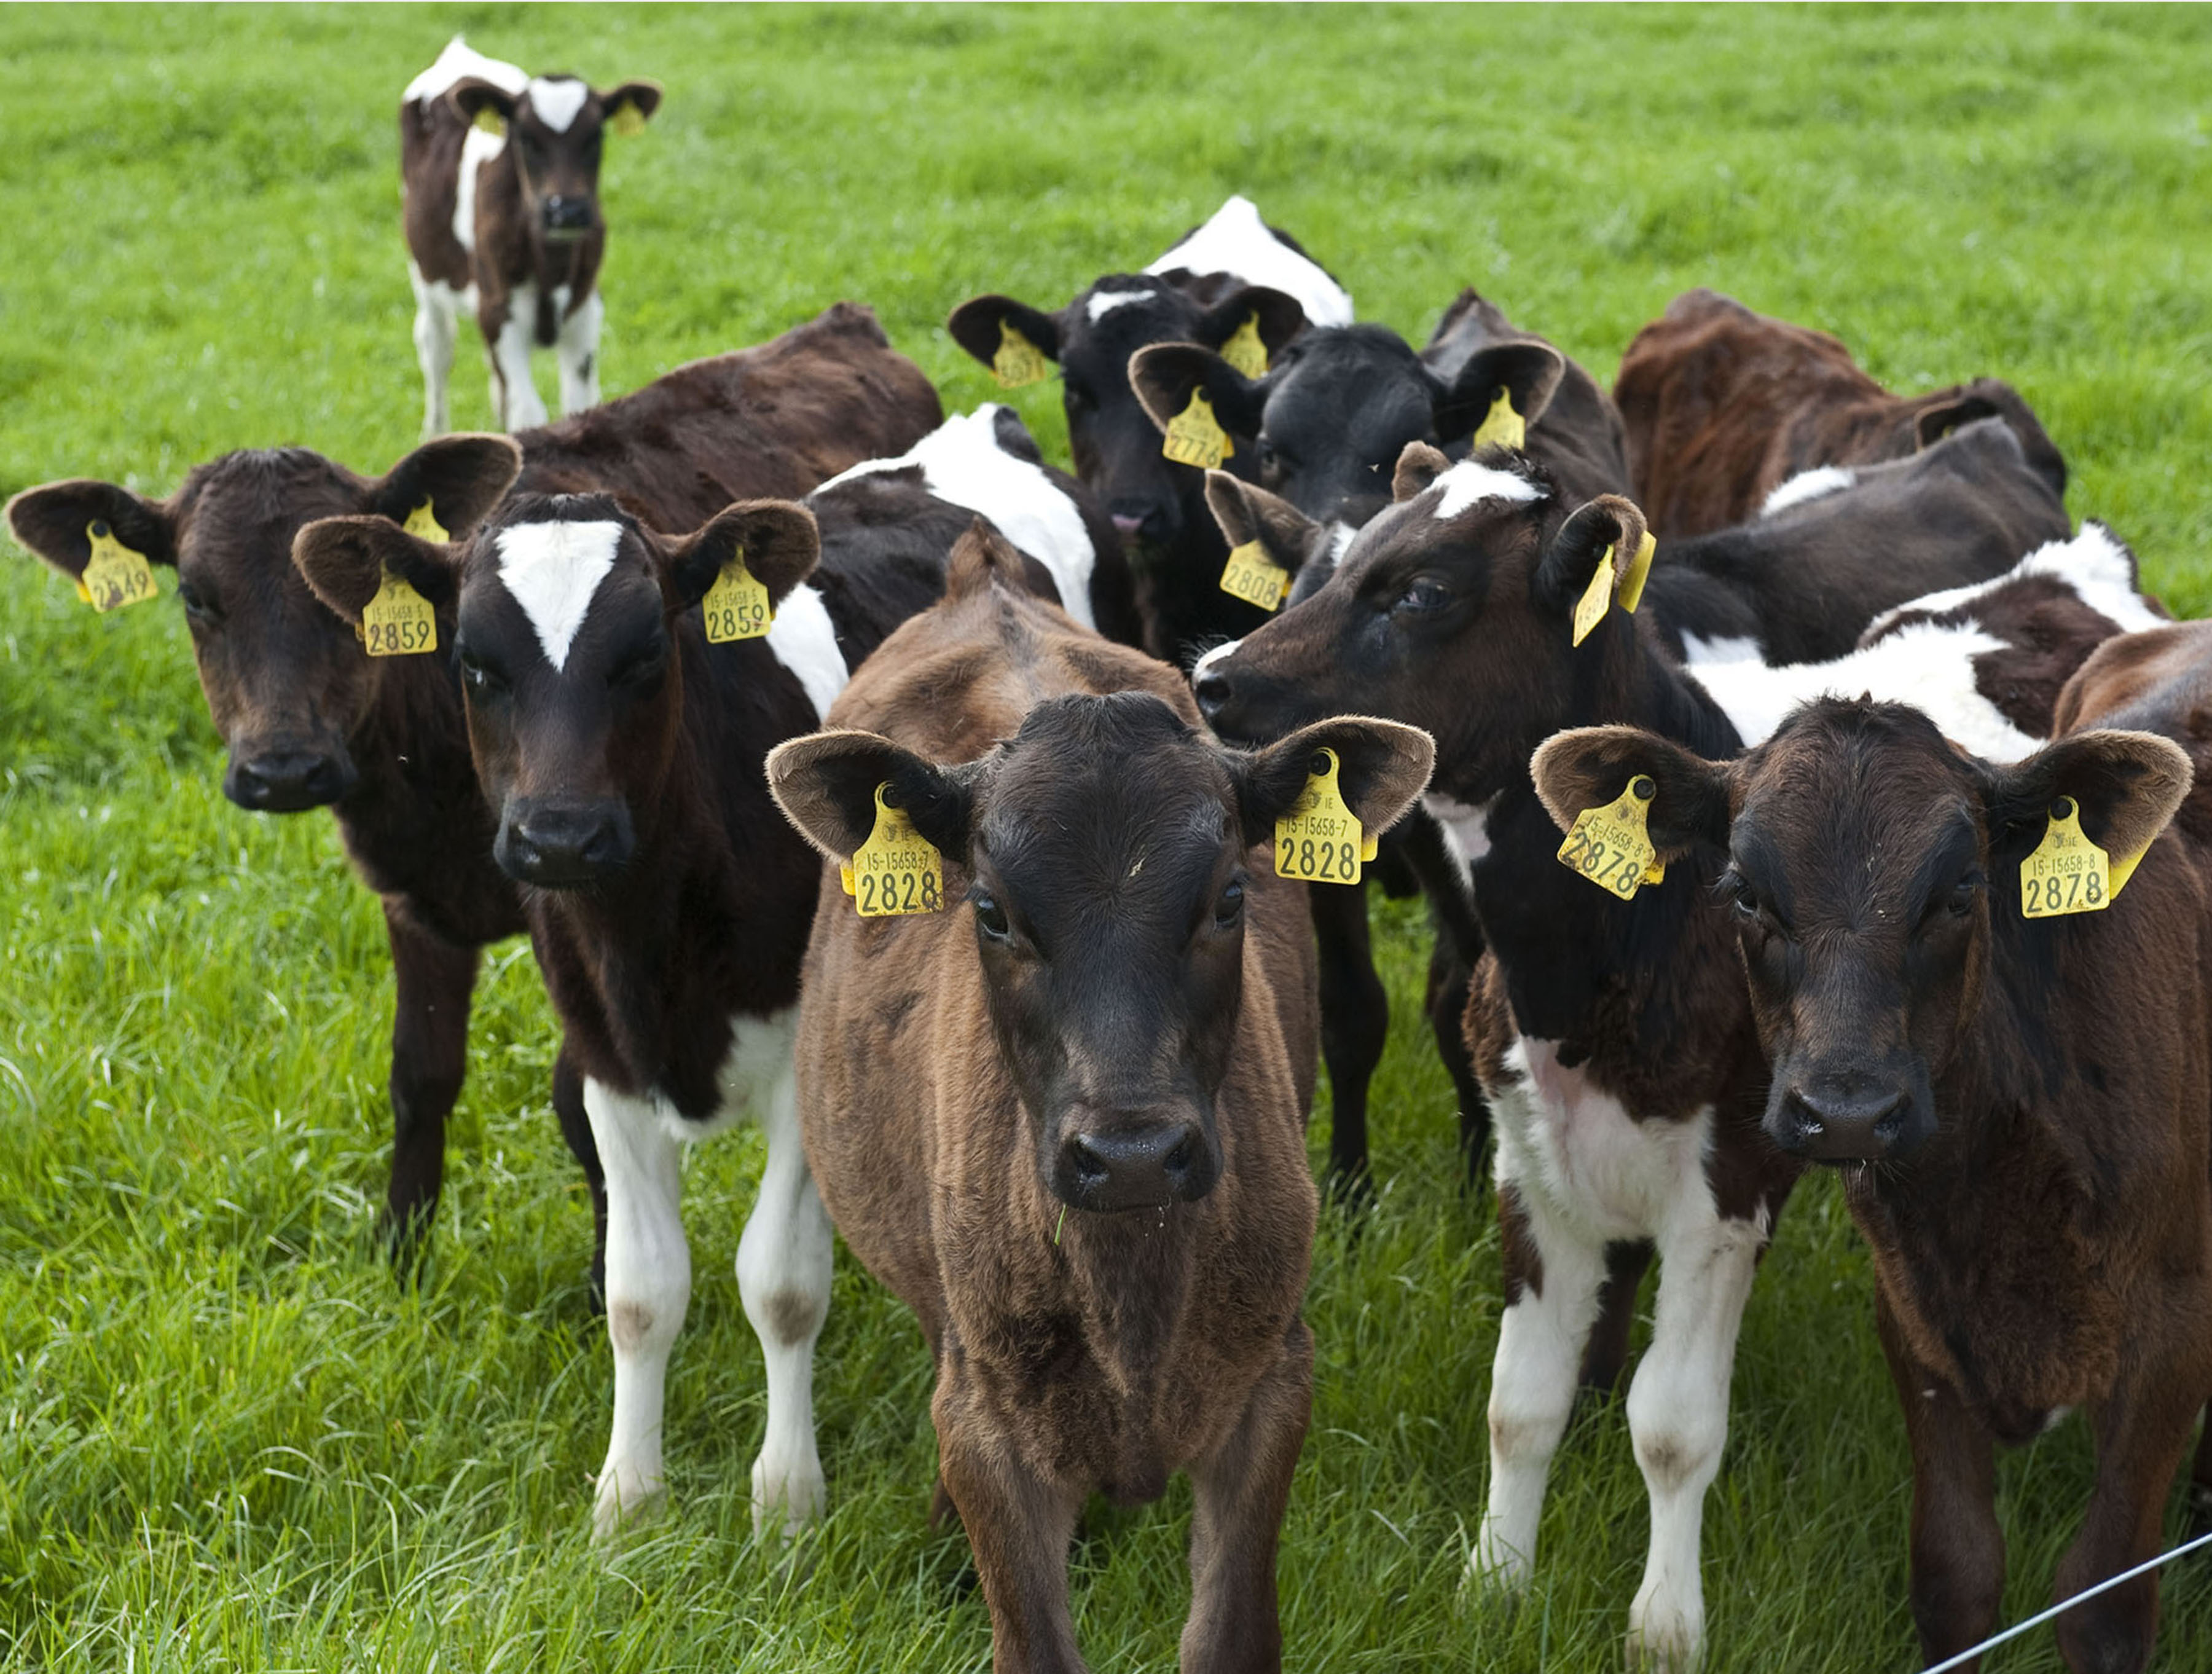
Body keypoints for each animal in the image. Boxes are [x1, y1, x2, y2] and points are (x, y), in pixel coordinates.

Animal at [4, 304, 941, 1288]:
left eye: (340, 611)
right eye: (195, 596)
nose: (284, 767)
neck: (423, 770)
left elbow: (576, 1101)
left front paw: (603, 1263)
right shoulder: (415, 902)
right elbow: (420, 1075)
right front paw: (401, 1249)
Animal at [401, 36, 661, 436]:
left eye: (596, 136)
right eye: (526, 138)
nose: (565, 210)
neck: (551, 266)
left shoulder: (586, 310)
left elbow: (579, 405)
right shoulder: (499, 313)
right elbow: (528, 411)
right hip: (426, 274)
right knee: (436, 346)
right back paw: (435, 432)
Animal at [765, 522, 1433, 1672]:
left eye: (1231, 894)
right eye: (991, 910)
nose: (1130, 1153)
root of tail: (984, 570)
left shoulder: (1271, 1385)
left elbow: (1231, 1635)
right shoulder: (988, 1429)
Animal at [1531, 700, 2211, 1674]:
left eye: (1962, 892)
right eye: (1745, 892)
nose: (1848, 1112)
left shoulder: (2175, 1330)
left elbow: (2102, 1602)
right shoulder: (1916, 1315)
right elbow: (1957, 1574)